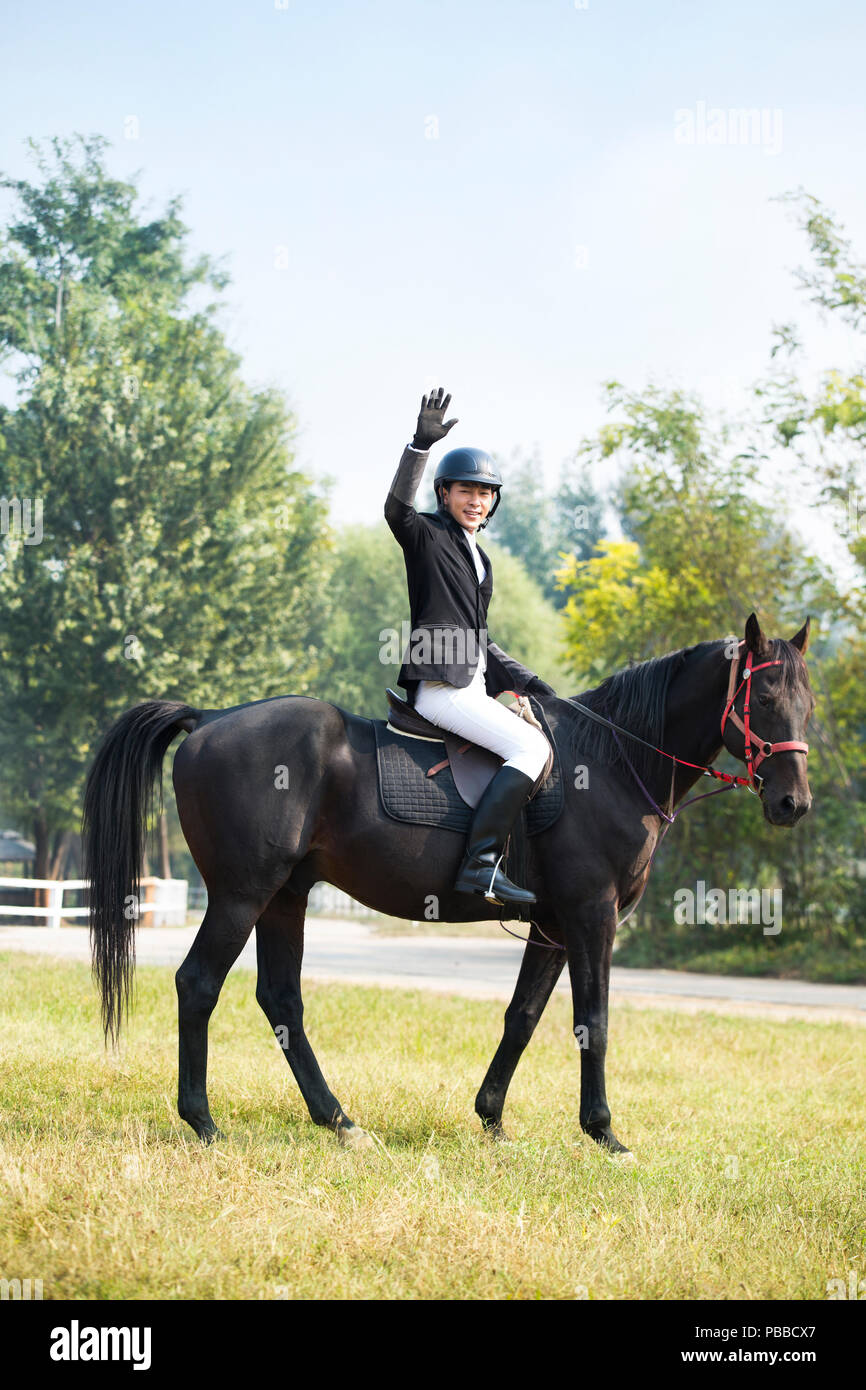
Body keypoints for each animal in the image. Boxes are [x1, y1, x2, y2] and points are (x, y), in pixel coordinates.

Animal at [82, 613, 814, 1157]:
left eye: (807, 705)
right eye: (764, 700)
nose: (793, 805)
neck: (611, 761)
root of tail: (208, 718)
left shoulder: (553, 925)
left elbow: (522, 1017)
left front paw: (492, 1120)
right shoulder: (592, 915)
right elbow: (593, 1021)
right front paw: (605, 1133)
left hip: (285, 896)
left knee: (281, 999)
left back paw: (341, 1123)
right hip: (243, 892)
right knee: (199, 984)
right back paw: (204, 1122)